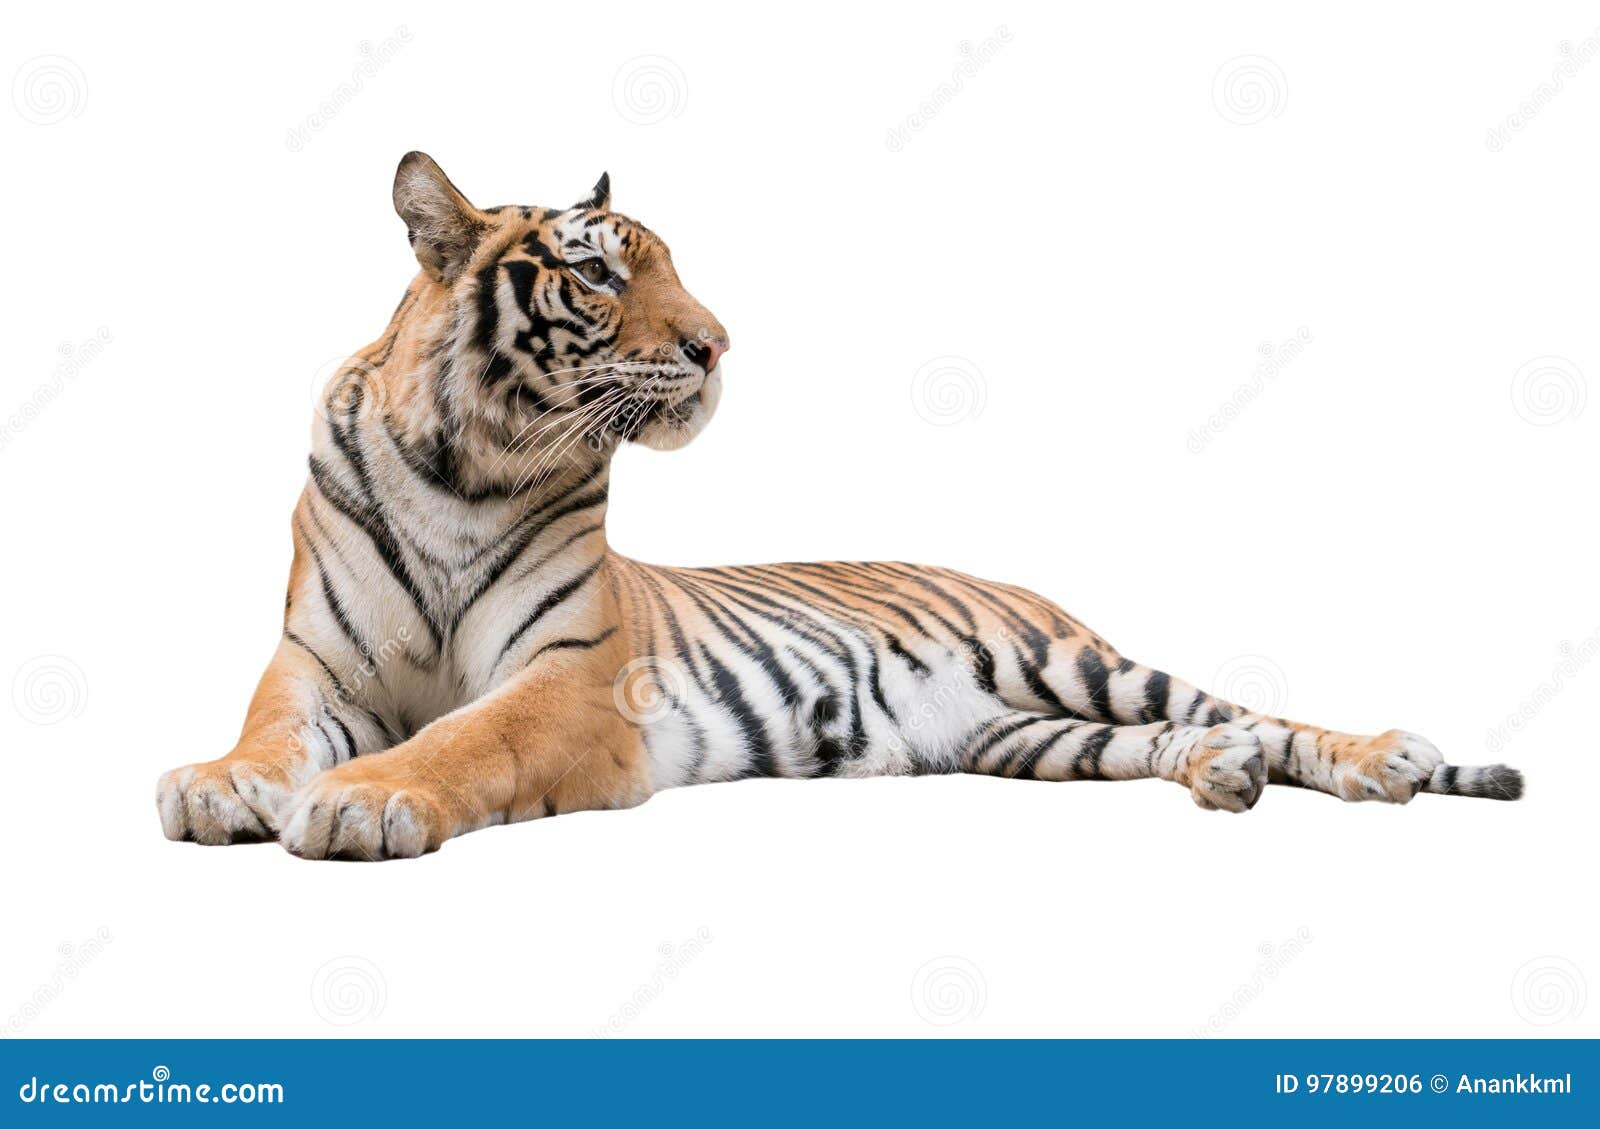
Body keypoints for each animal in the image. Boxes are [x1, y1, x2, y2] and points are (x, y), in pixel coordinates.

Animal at [156, 152, 1524, 860]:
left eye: (669, 263)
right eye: (600, 271)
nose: (718, 344)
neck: (469, 459)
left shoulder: (568, 679)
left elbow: (458, 740)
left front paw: (363, 797)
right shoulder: (313, 664)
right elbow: (266, 734)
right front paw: (220, 786)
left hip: (1075, 662)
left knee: (1253, 710)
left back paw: (1378, 757)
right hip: (1019, 735)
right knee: (1181, 739)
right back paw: (1223, 778)